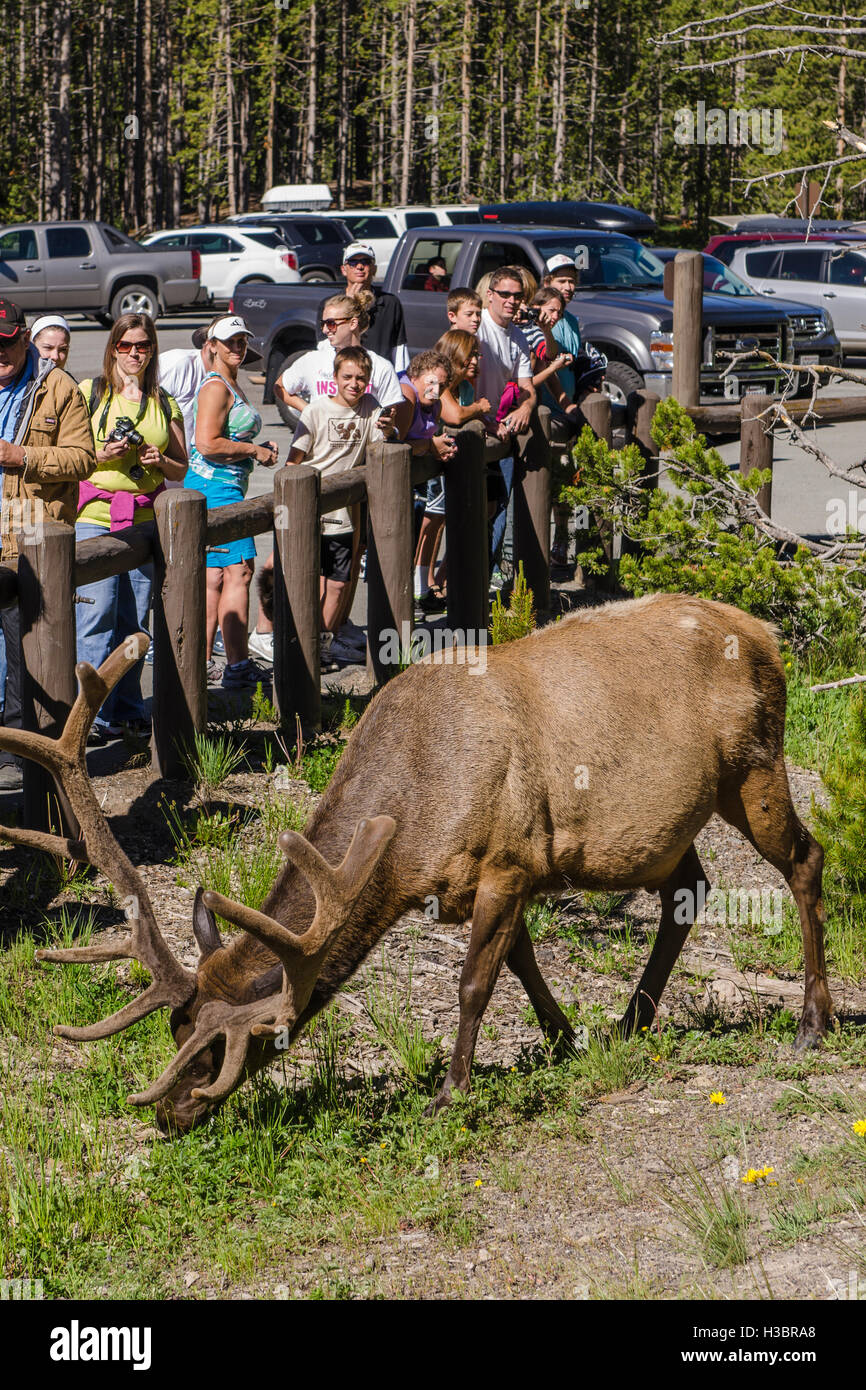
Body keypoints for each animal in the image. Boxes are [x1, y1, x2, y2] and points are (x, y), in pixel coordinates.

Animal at [0, 592, 831, 1136]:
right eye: (176, 1030)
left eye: (243, 1045)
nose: (171, 1116)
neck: (411, 827)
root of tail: (766, 633)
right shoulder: (500, 876)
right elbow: (521, 962)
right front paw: (565, 1038)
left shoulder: (509, 860)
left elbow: (473, 983)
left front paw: (450, 1091)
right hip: (664, 829)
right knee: (691, 888)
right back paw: (632, 1019)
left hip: (754, 766)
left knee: (806, 858)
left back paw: (812, 1022)